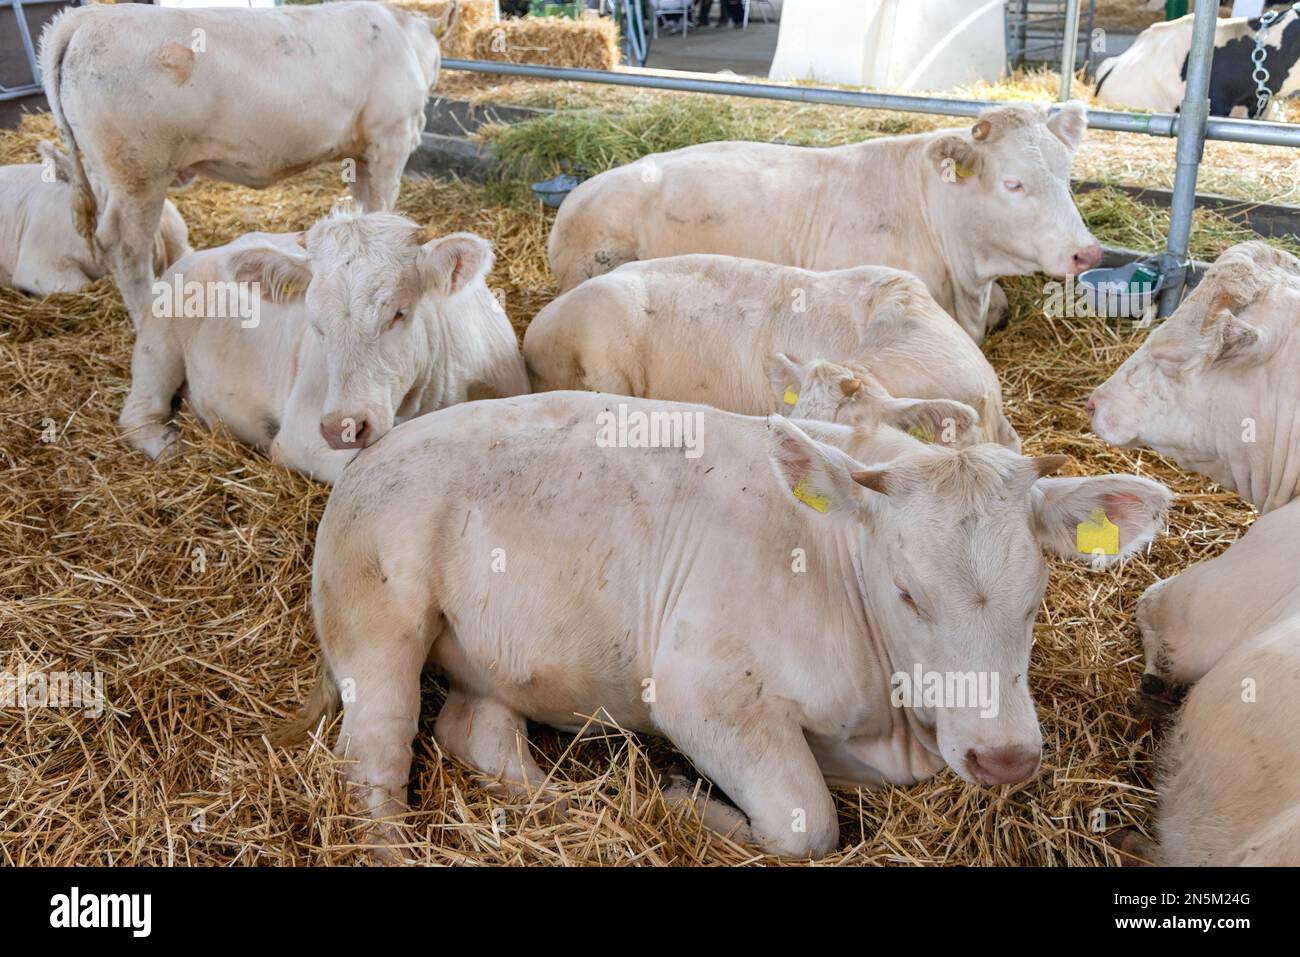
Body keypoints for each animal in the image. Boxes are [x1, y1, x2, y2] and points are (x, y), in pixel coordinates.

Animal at [39, 1, 454, 328]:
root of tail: (84, 18)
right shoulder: (391, 140)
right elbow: (383, 205)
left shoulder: (362, 152)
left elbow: (364, 207)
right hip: (140, 172)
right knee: (125, 246)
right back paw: (147, 316)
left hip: (107, 173)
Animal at [118, 207, 529, 484]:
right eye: (316, 324)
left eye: (399, 312)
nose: (342, 429)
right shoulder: (298, 436)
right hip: (157, 346)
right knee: (137, 414)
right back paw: (170, 445)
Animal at [274, 390, 1172, 858]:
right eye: (908, 591)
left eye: (1035, 592)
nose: (1005, 755)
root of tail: (371, 454)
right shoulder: (702, 692)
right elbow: (807, 822)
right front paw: (684, 798)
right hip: (380, 624)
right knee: (373, 767)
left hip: (492, 663)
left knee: (477, 735)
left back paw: (588, 797)